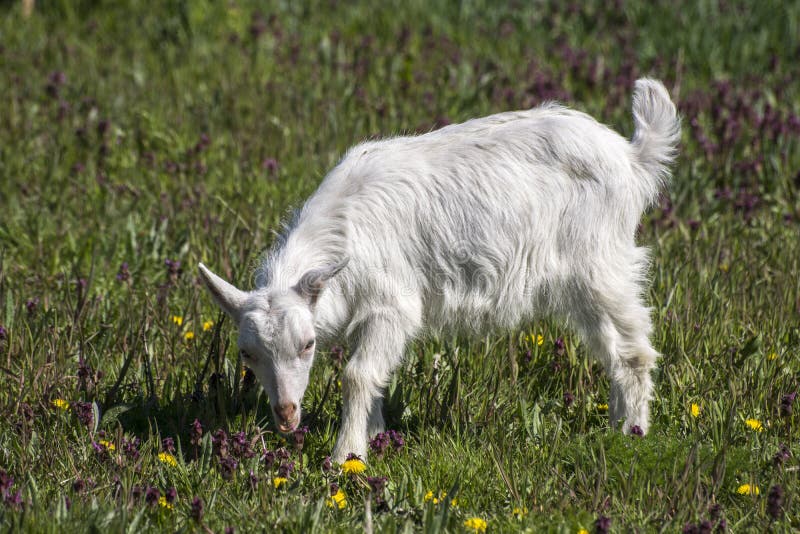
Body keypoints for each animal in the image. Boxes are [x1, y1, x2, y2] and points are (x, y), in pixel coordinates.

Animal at [199, 78, 680, 462]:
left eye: (307, 345)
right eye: (247, 354)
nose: (285, 415)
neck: (345, 226)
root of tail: (632, 157)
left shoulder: (392, 305)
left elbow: (357, 375)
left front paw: (346, 456)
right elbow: (373, 375)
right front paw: (375, 434)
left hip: (602, 265)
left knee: (633, 350)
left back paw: (632, 434)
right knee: (612, 348)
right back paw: (616, 425)